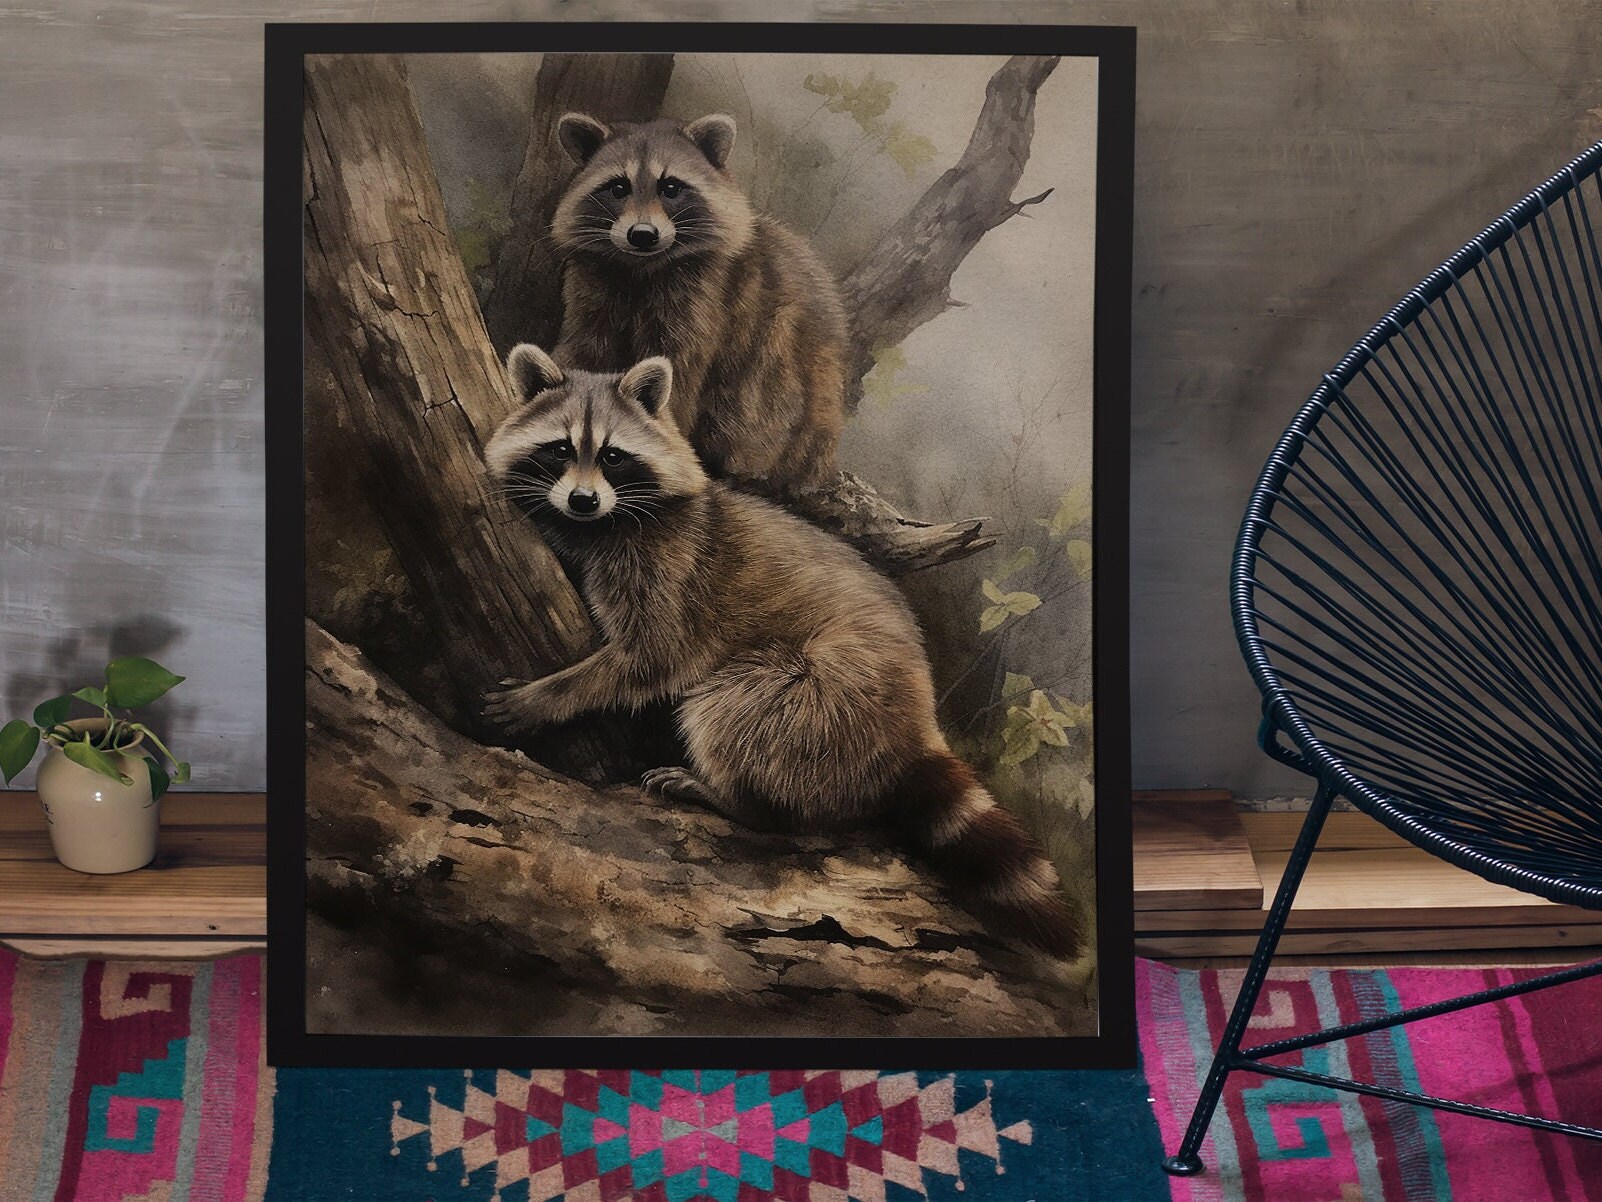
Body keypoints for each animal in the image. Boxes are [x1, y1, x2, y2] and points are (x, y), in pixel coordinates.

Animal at [481, 344, 1080, 958]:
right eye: (560, 449)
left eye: (613, 456)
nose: (583, 500)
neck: (605, 522)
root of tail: (917, 720)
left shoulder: (669, 565)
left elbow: (653, 656)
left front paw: (549, 694)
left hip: (826, 694)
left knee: (731, 710)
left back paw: (731, 796)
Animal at [546, 111, 848, 496]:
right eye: (618, 188)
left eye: (671, 188)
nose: (642, 235)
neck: (641, 268)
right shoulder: (594, 287)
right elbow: (587, 349)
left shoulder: (705, 297)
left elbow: (676, 374)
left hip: (786, 386)